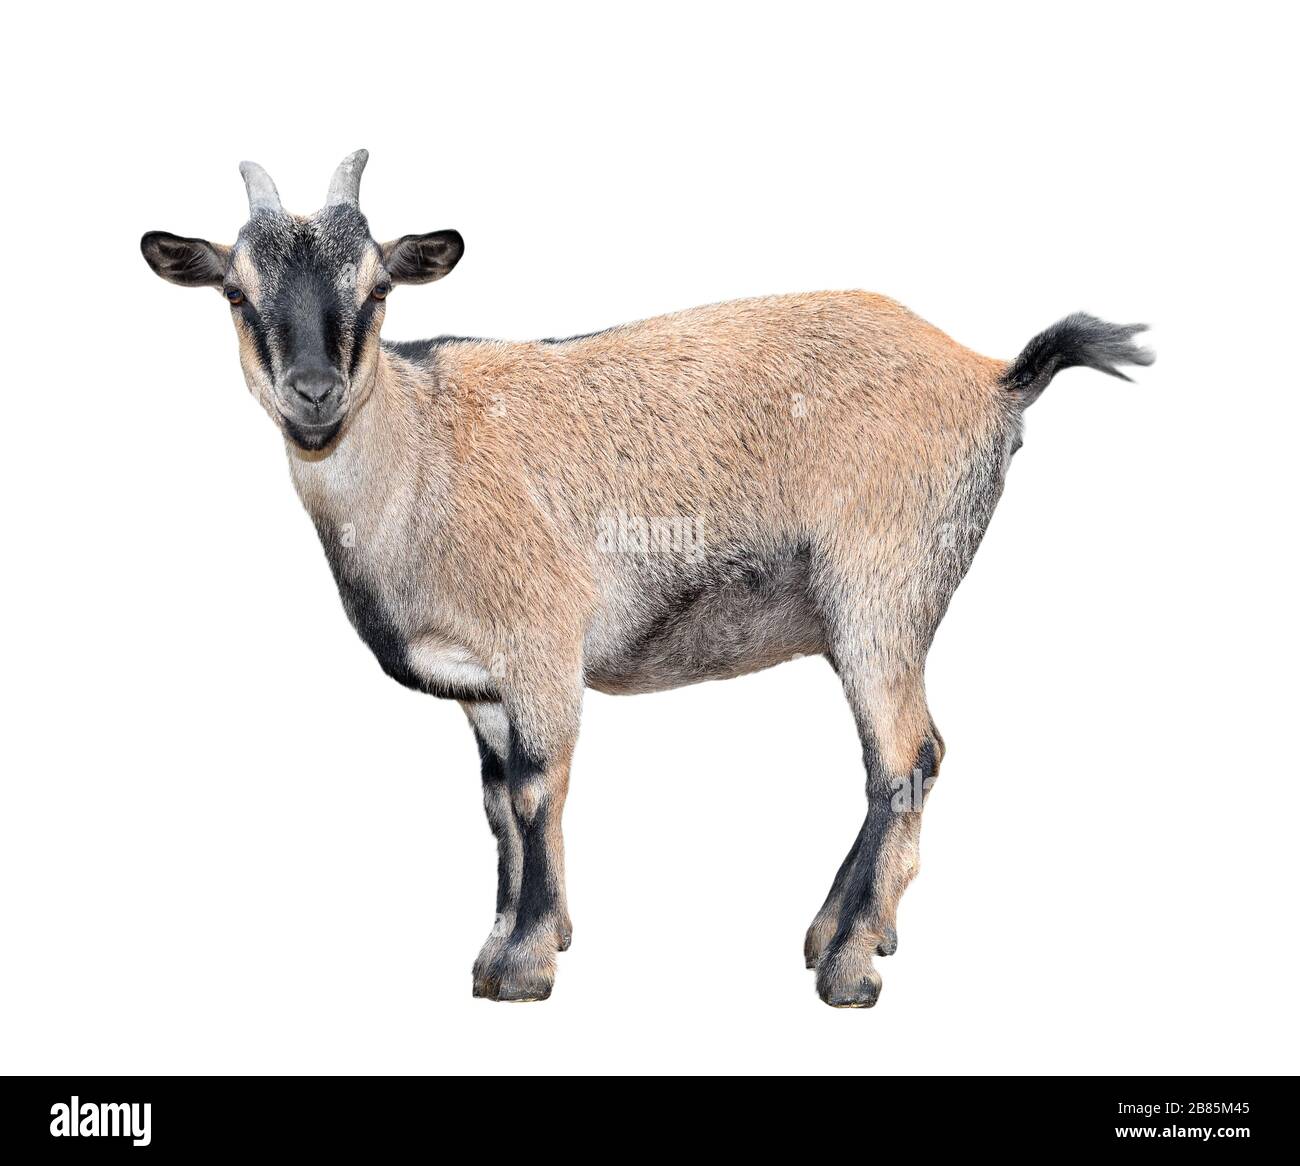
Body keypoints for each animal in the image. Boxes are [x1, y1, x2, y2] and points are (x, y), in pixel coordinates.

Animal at [141, 151, 1153, 1006]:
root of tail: (993, 378)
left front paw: (523, 965)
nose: (313, 394)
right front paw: (512, 936)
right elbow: (496, 803)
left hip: (883, 592)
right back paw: (832, 932)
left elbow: (537, 787)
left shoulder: (543, 646)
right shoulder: (482, 686)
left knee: (906, 757)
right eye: (235, 291)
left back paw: (853, 964)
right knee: (903, 760)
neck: (423, 450)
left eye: (379, 285)